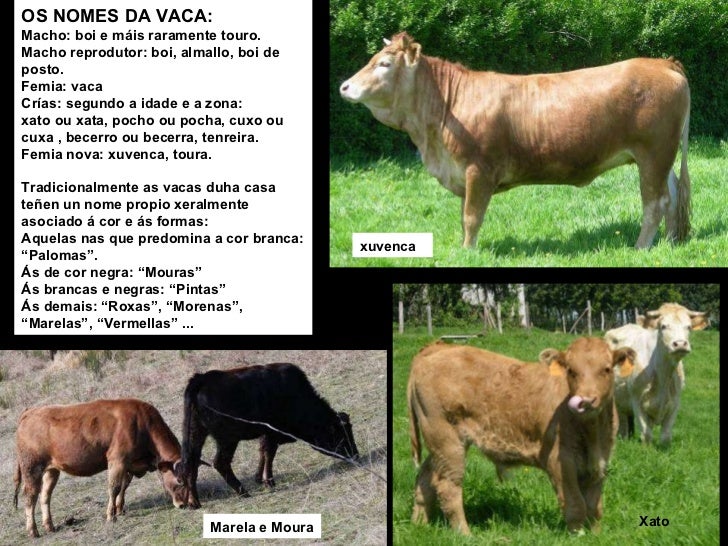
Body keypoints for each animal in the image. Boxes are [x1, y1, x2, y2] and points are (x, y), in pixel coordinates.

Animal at [13, 399, 190, 538]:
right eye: (179, 481)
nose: (185, 504)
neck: (142, 423)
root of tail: (31, 411)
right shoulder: (117, 459)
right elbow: (114, 487)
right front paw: (111, 516)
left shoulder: (128, 464)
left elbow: (124, 486)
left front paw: (119, 509)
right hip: (32, 468)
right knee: (30, 496)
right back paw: (33, 531)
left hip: (51, 470)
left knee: (45, 496)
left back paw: (50, 526)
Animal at [174, 363, 359, 508]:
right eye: (340, 434)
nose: (355, 455)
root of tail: (201, 379)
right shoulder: (272, 432)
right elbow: (269, 453)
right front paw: (269, 481)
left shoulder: (266, 434)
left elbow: (262, 452)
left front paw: (259, 478)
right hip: (228, 439)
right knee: (220, 462)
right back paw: (243, 492)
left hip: (195, 435)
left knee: (190, 464)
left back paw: (195, 502)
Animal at [340, 32, 691, 249]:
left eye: (384, 63)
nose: (344, 86)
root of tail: (661, 62)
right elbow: (466, 215)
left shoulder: (478, 169)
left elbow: (471, 217)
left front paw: (467, 252)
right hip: (661, 157)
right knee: (673, 194)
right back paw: (671, 242)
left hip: (653, 153)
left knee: (656, 202)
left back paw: (641, 247)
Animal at [407, 338, 635, 534]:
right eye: (571, 370)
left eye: (606, 369)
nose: (586, 400)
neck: (592, 433)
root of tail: (437, 348)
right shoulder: (560, 461)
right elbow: (576, 504)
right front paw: (577, 535)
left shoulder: (600, 461)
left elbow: (594, 506)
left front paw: (595, 535)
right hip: (446, 439)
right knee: (448, 486)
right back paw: (465, 534)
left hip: (438, 445)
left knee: (425, 477)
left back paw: (419, 524)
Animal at [605, 303, 708, 444]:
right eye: (663, 326)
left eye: (689, 327)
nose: (680, 344)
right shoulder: (636, 401)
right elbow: (647, 434)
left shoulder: (675, 403)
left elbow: (666, 436)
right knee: (622, 423)